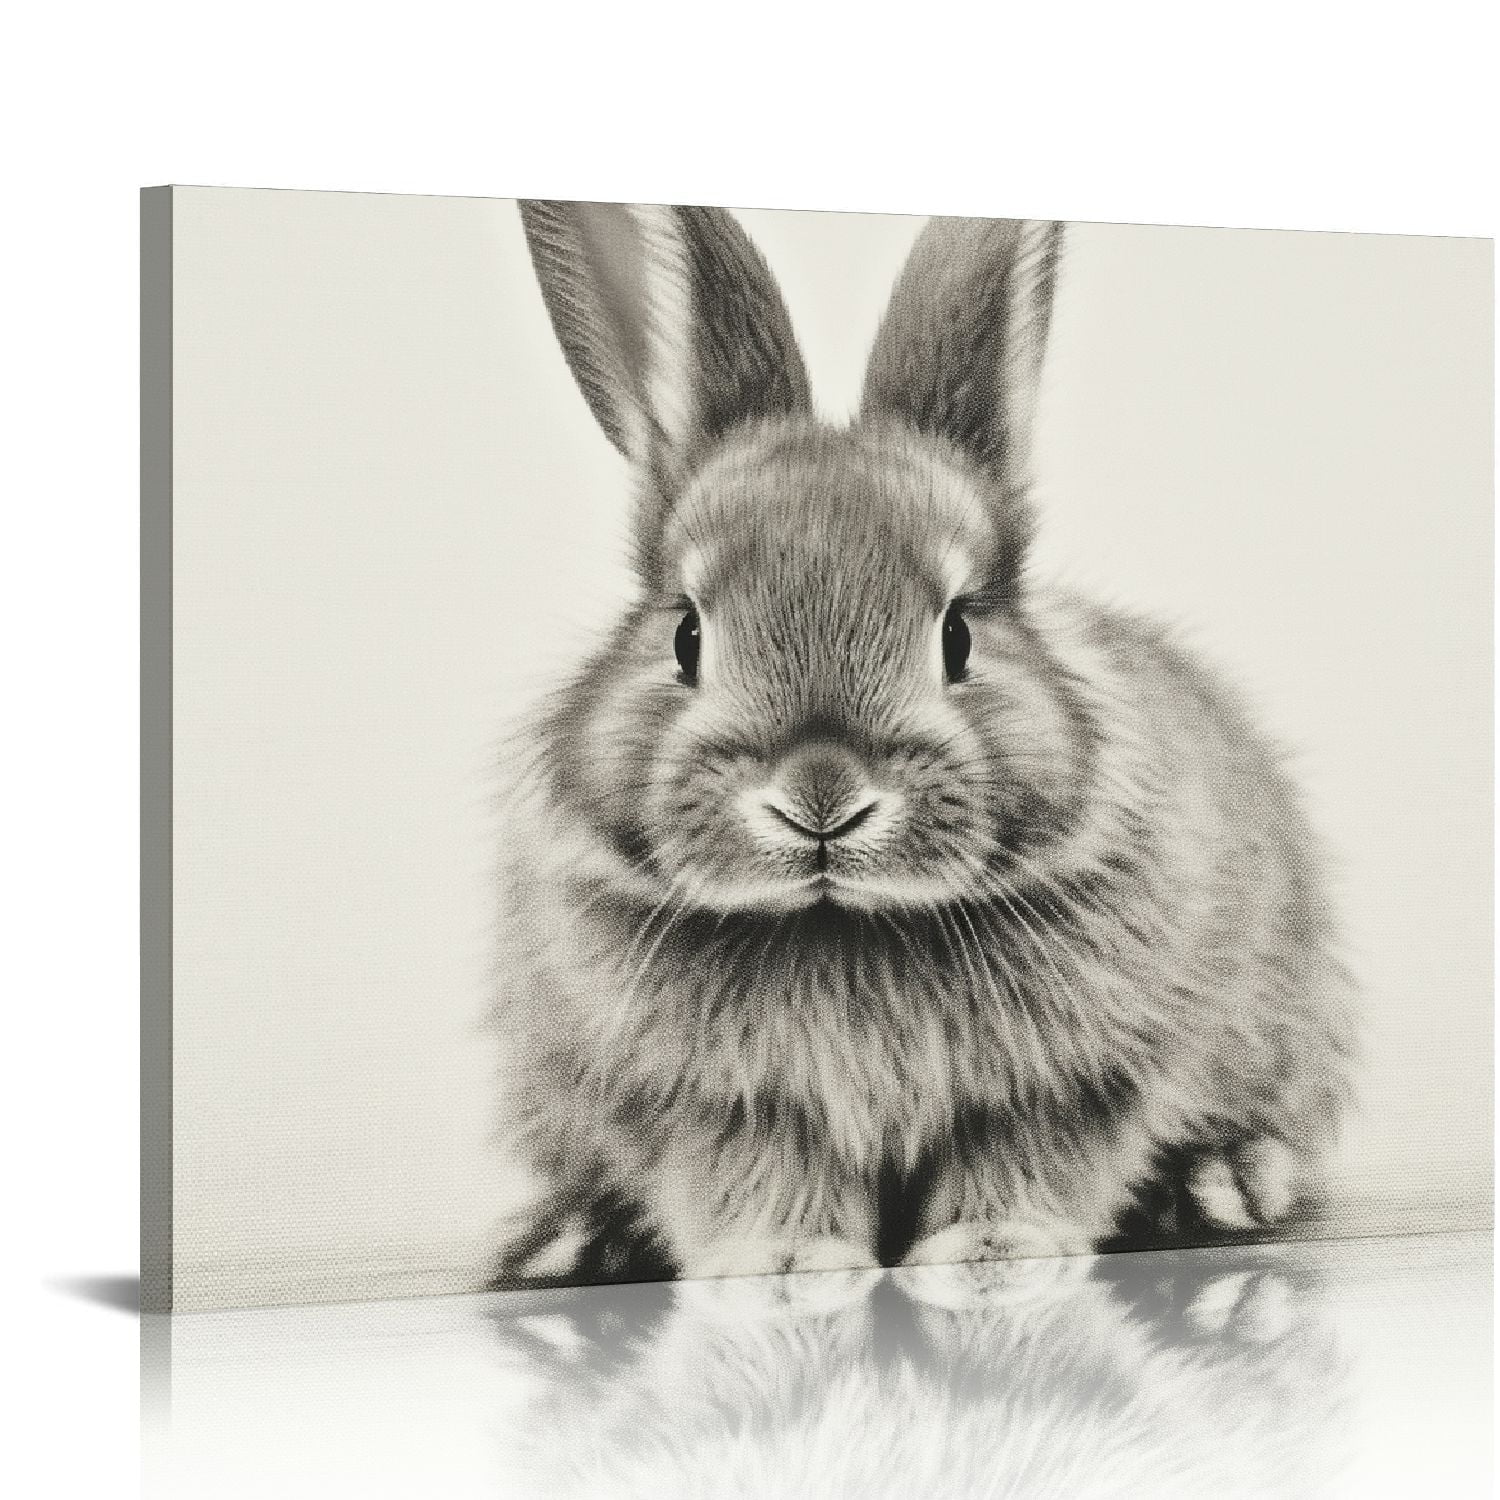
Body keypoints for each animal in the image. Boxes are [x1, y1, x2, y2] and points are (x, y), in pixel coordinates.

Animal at [493, 200, 1355, 1287]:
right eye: (686, 634)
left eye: (958, 633)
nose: (821, 797)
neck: (843, 927)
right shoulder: (715, 1108)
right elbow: (757, 1177)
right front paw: (784, 1265)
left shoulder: (1073, 1082)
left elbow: (1028, 1160)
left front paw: (996, 1252)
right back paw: (574, 1236)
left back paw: (1220, 1184)